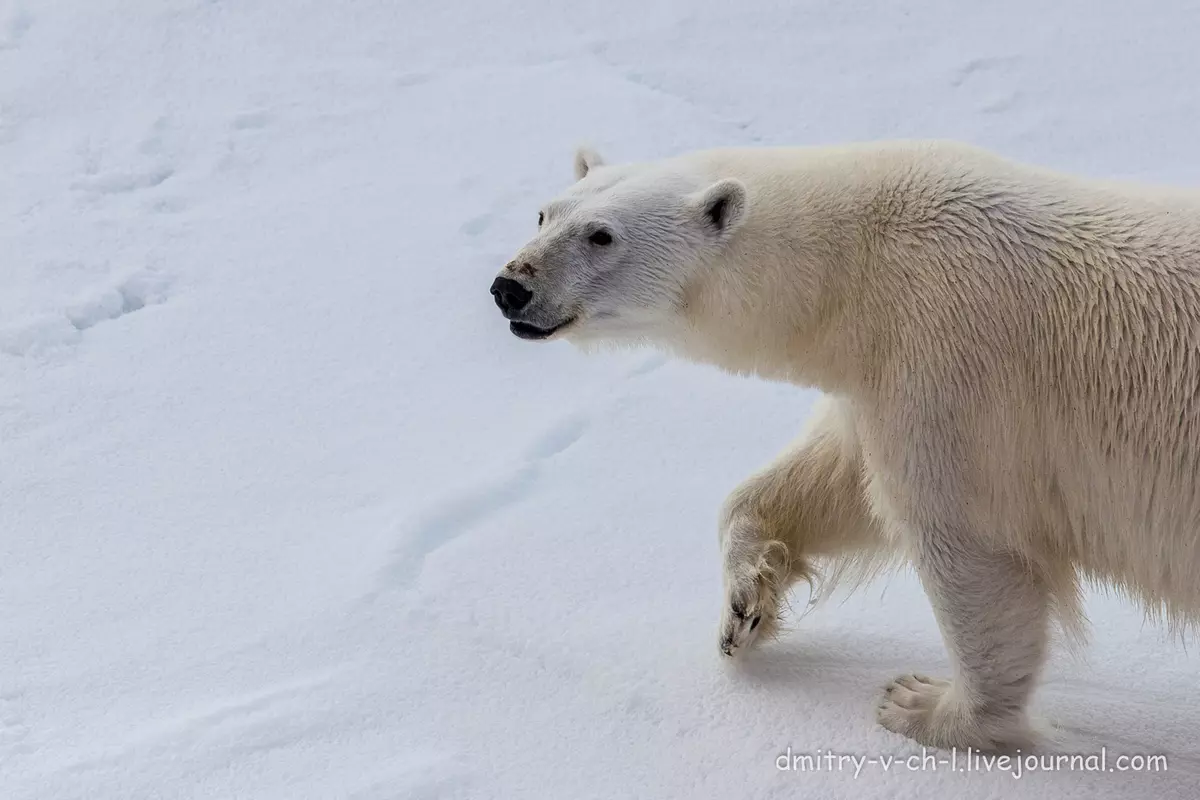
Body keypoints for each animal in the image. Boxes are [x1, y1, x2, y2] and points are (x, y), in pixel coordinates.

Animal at [484, 140, 1200, 753]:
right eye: (546, 212)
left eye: (602, 235)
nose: (510, 286)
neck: (860, 263)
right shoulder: (876, 373)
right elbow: (834, 484)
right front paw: (744, 607)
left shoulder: (949, 367)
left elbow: (971, 547)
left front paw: (926, 708)